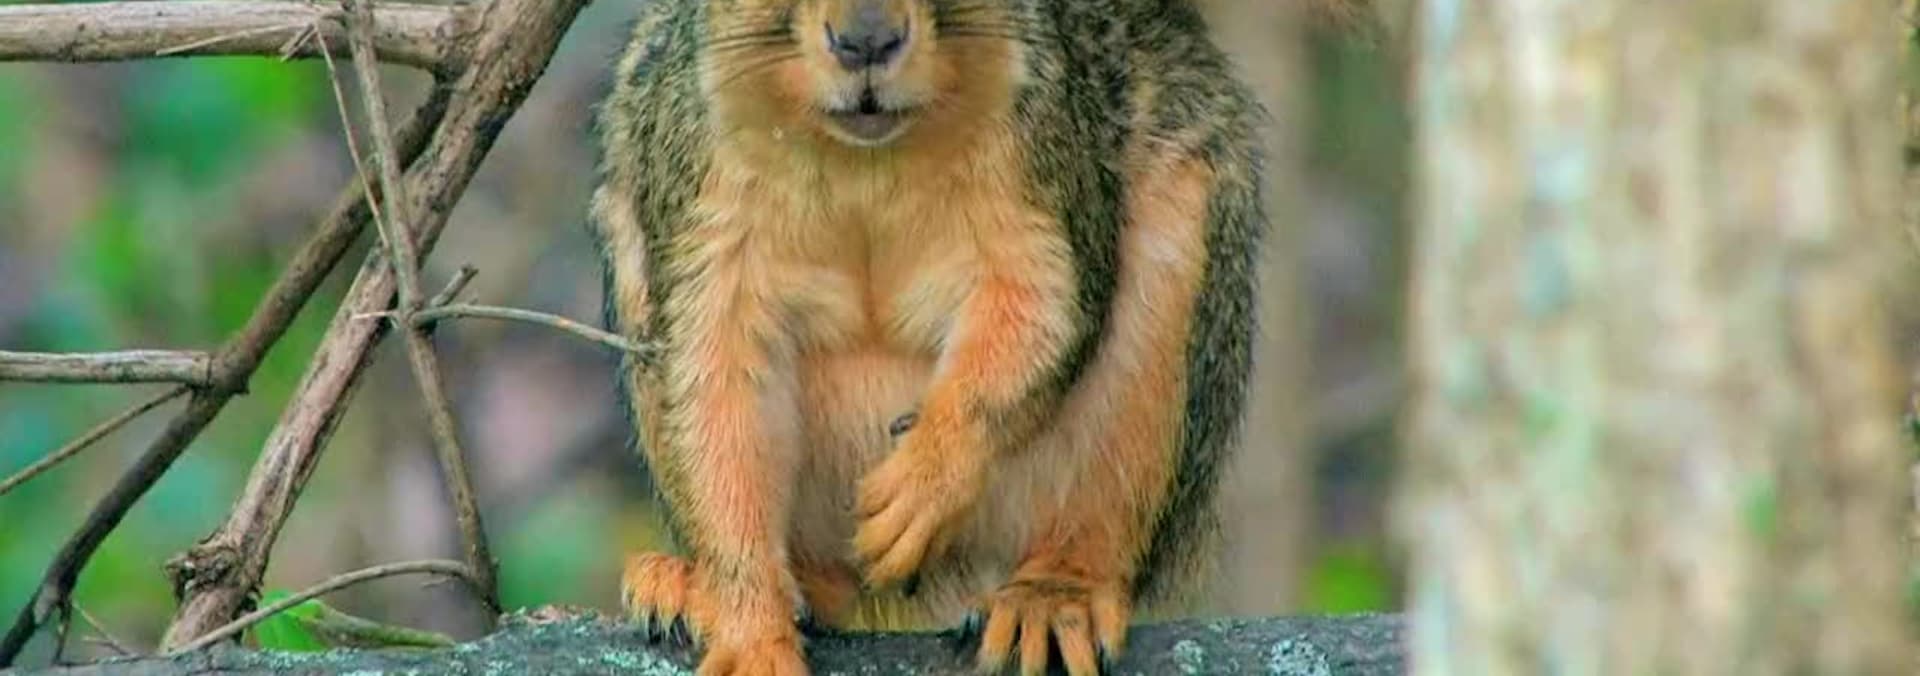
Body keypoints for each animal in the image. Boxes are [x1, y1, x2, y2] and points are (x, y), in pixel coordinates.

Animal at [587, 0, 1269, 674]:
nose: (867, 41)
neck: (863, 159)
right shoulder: (706, 209)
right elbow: (717, 403)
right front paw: (750, 637)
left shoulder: (1040, 167)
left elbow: (1035, 319)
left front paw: (924, 484)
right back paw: (691, 584)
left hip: (1170, 312)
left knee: (1107, 499)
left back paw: (1054, 593)